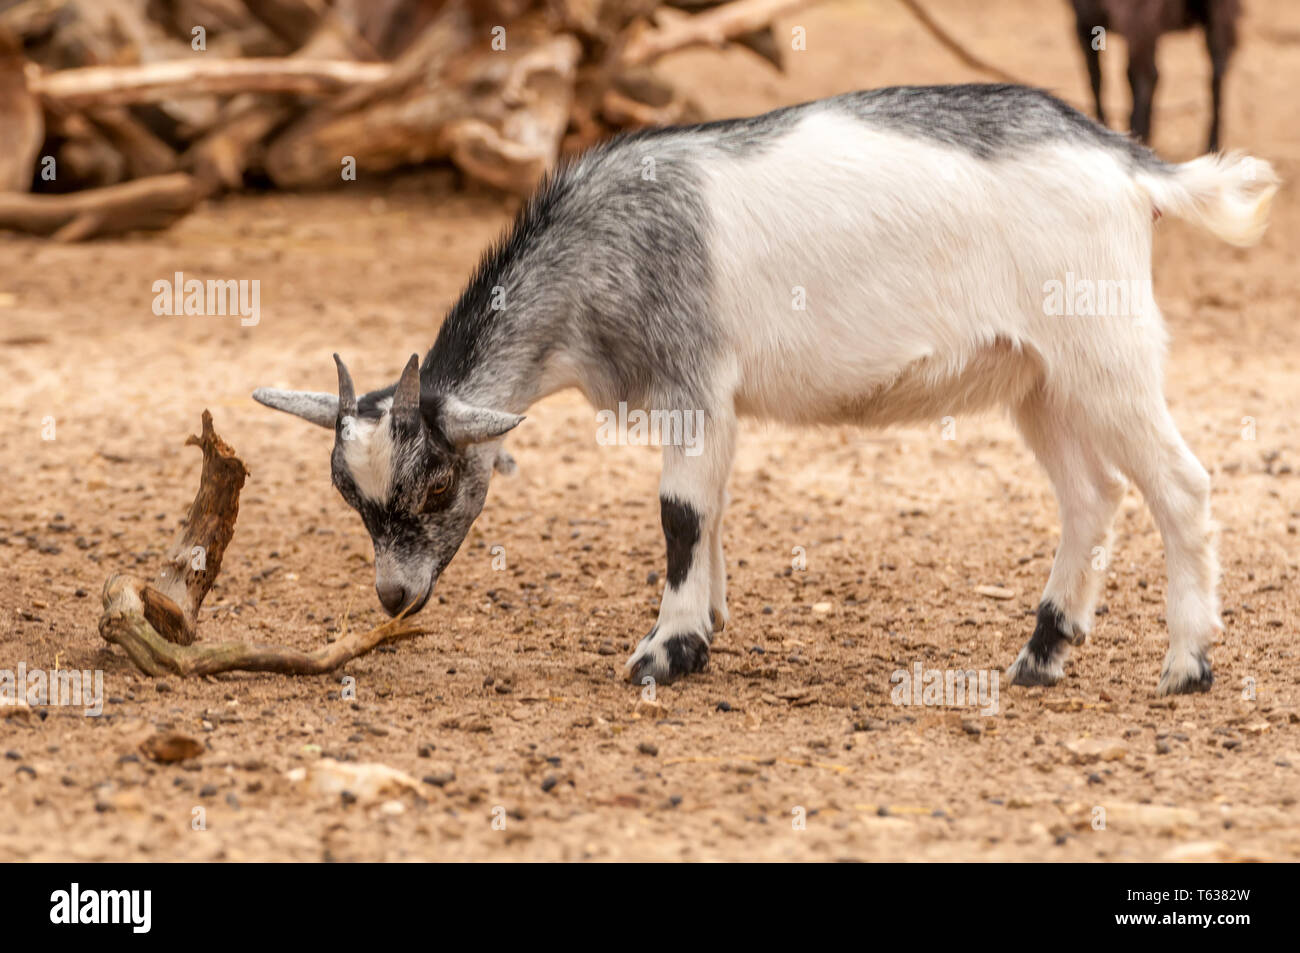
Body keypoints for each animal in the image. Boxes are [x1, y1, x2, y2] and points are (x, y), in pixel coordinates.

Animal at [254, 84, 1277, 694]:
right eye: (349, 497)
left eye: (435, 487)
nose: (394, 597)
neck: (599, 251)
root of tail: (1130, 166)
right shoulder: (712, 405)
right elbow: (709, 514)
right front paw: (705, 624)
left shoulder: (693, 382)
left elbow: (677, 513)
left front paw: (667, 650)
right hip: (1040, 380)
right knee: (1092, 496)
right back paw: (1043, 652)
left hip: (1105, 352)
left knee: (1181, 485)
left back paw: (1187, 662)